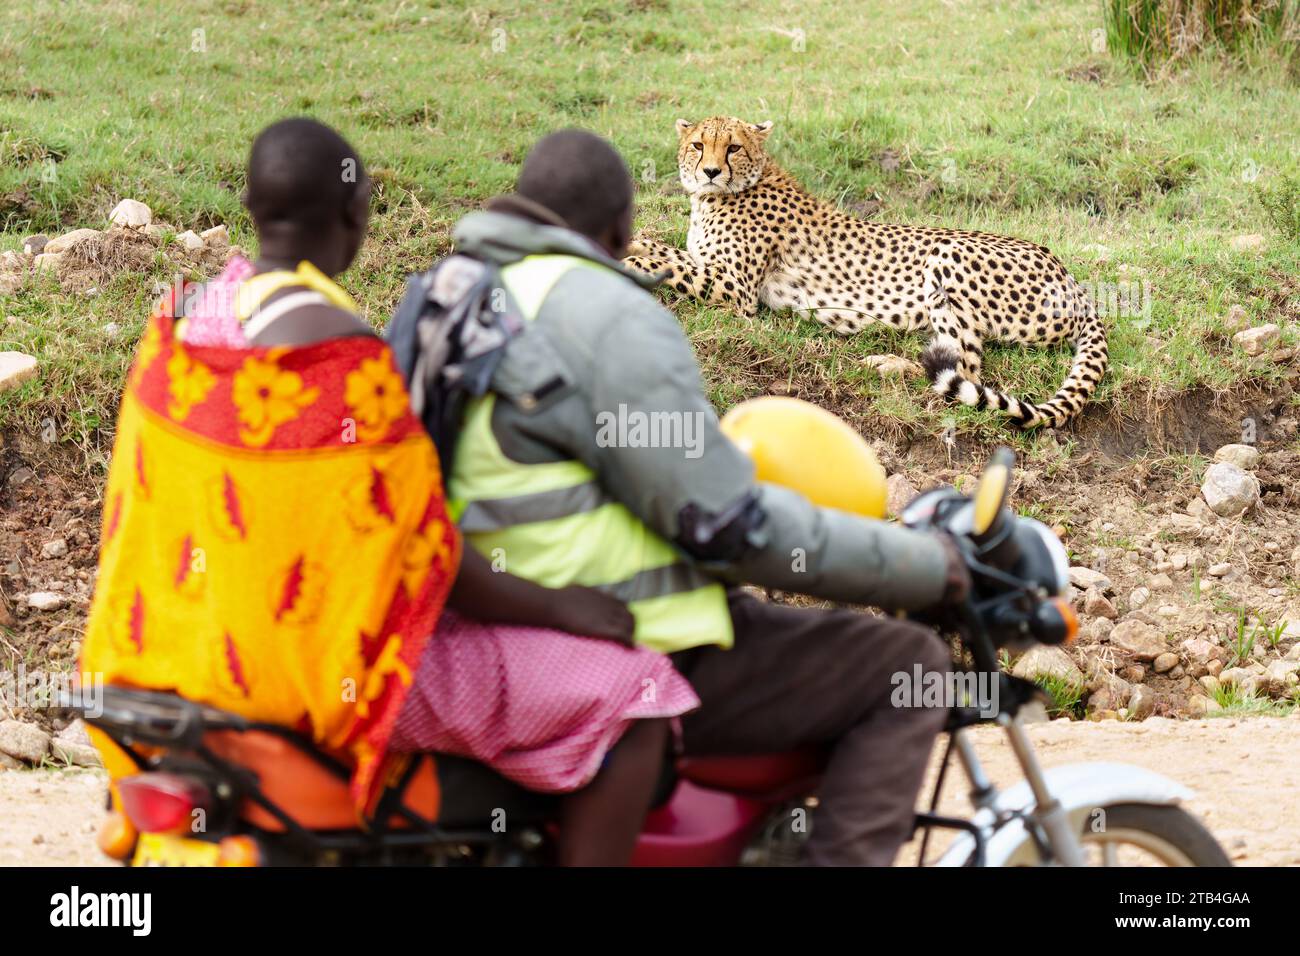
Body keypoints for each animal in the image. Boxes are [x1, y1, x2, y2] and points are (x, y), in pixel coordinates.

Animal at [622, 116, 1109, 428]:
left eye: (733, 147)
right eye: (699, 145)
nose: (709, 171)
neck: (720, 195)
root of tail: (1073, 281)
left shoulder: (736, 290)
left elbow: (663, 263)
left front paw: (628, 264)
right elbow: (659, 246)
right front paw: (624, 241)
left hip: (948, 253)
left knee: (967, 371)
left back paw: (887, 365)